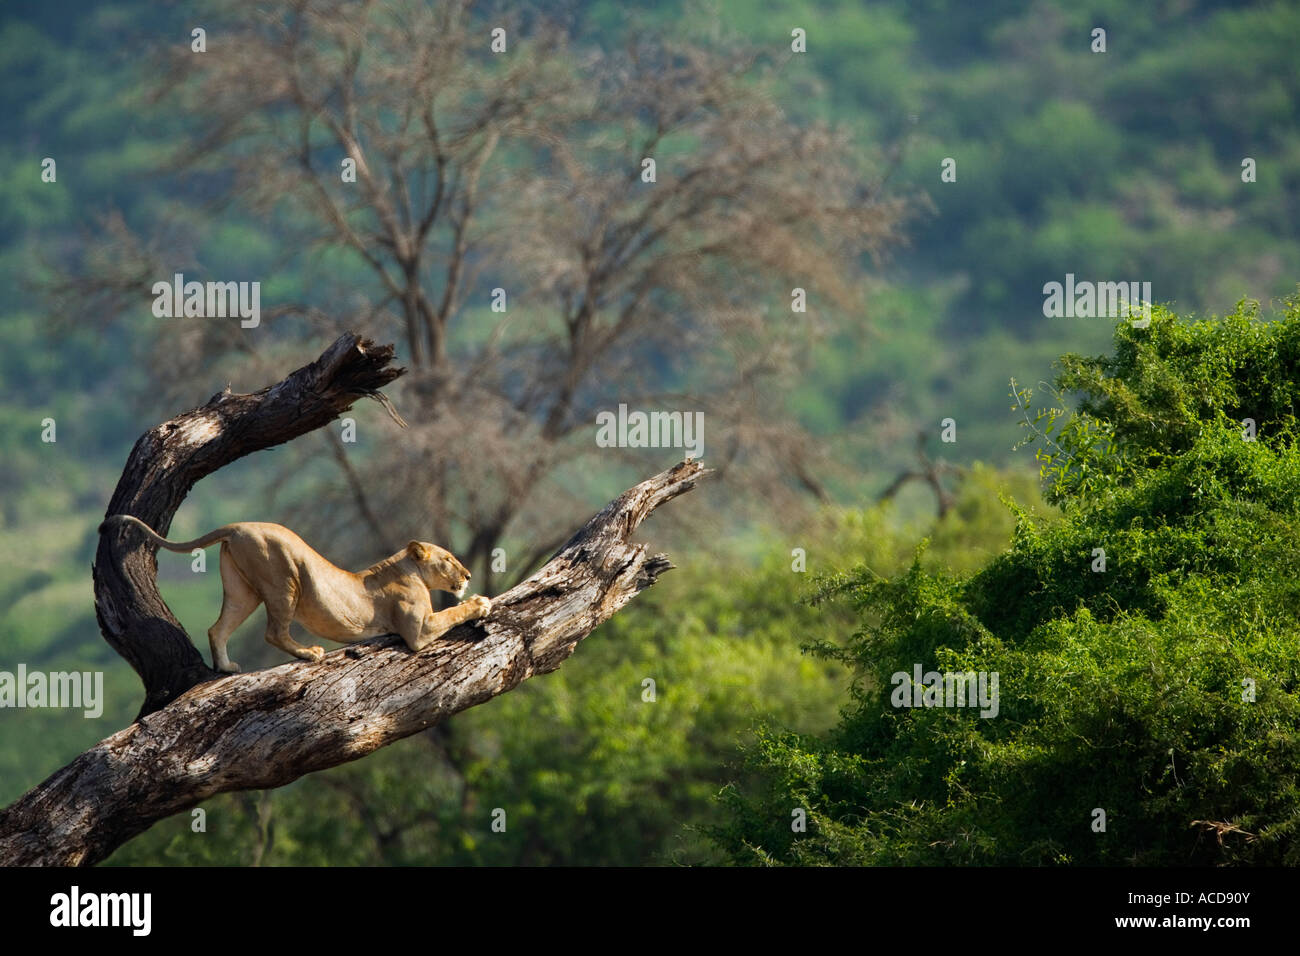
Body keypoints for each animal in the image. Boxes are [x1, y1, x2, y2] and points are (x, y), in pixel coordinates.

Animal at [99, 515, 492, 673]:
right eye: (448, 559)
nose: (468, 575)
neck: (406, 566)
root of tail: (238, 526)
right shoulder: (417, 631)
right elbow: (453, 612)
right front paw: (480, 602)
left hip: (243, 591)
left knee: (217, 628)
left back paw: (225, 667)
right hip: (284, 577)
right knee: (274, 632)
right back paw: (309, 653)